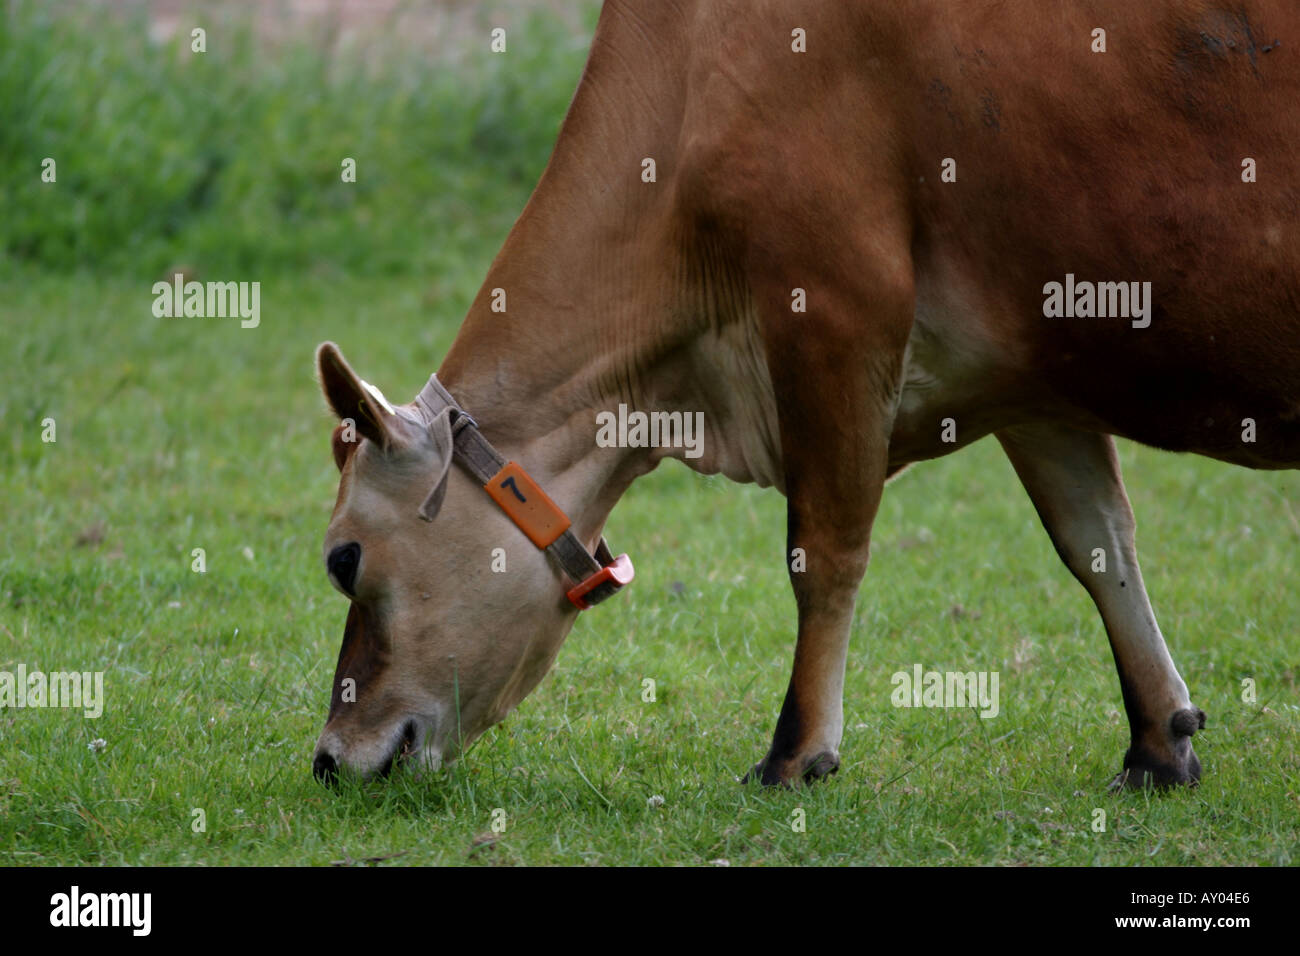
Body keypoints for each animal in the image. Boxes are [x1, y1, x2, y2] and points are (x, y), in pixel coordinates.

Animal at [311, 0, 1300, 790]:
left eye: (343, 561)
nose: (326, 758)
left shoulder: (834, 306)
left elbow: (821, 552)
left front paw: (797, 753)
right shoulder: (1033, 372)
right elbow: (1096, 540)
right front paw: (1160, 742)